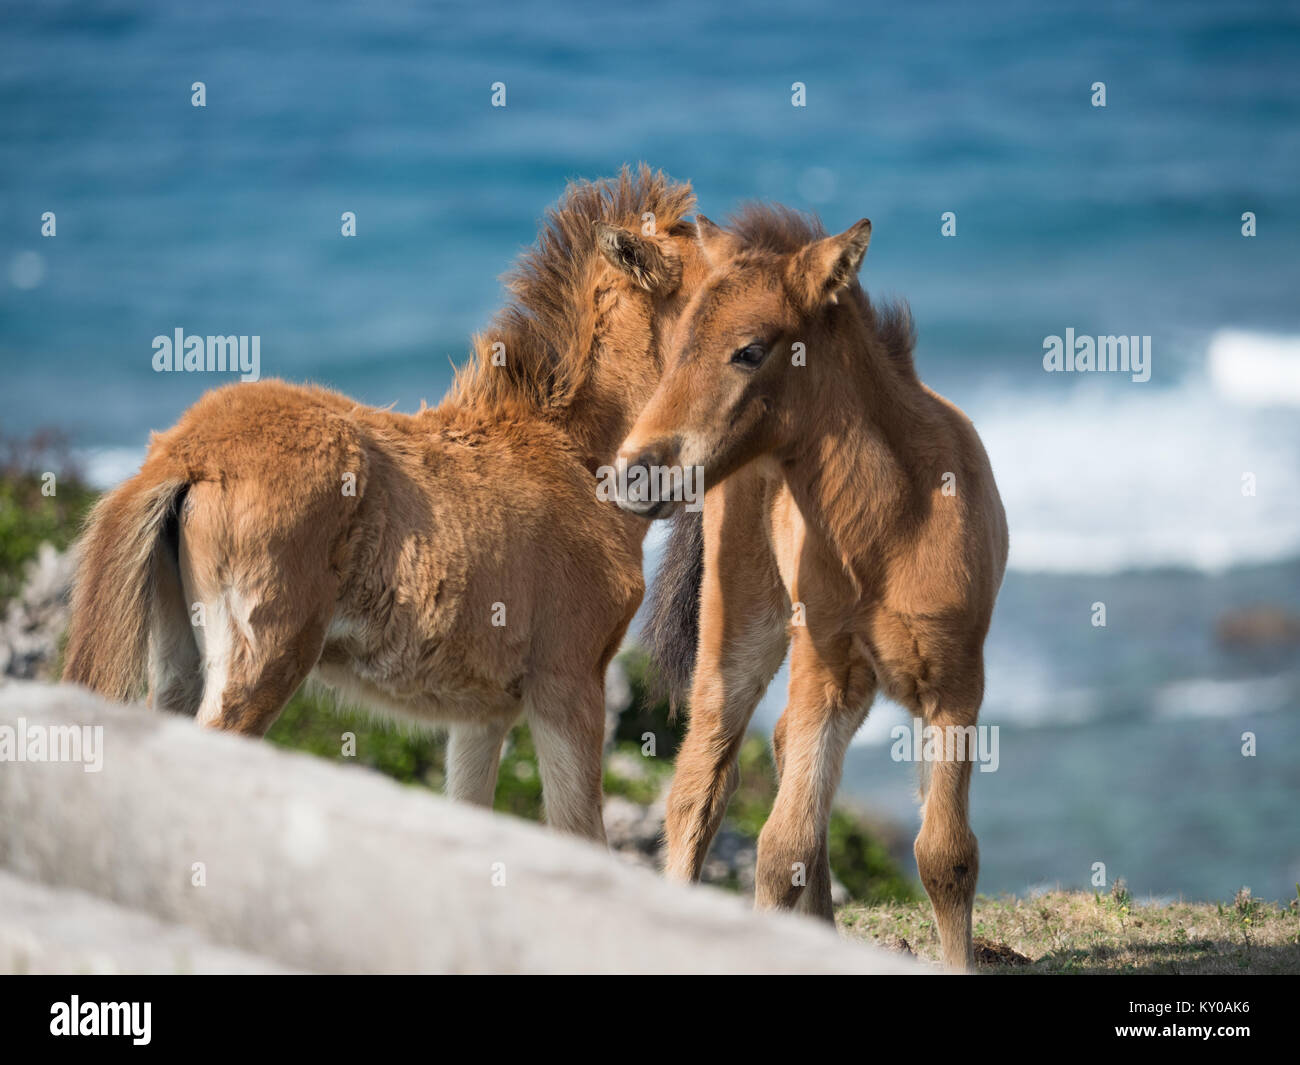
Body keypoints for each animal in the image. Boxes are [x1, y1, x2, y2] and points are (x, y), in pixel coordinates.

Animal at [62, 166, 710, 842]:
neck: (572, 454)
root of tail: (187, 452)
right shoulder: (568, 682)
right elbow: (578, 833)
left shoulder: (484, 713)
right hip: (261, 657)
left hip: (179, 655)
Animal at [616, 205, 1008, 968]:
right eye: (678, 347)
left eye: (749, 350)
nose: (631, 473)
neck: (892, 526)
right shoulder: (824, 666)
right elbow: (780, 845)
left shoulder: (954, 683)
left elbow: (946, 855)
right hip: (744, 636)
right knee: (700, 789)